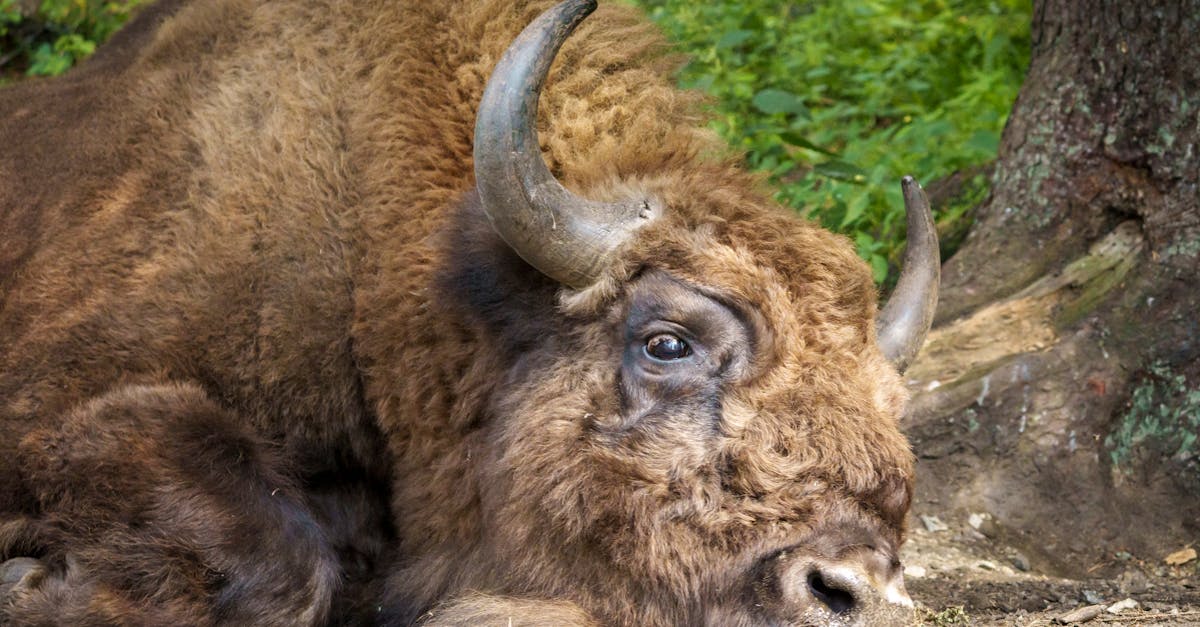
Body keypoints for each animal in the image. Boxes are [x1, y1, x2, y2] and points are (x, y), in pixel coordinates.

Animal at [0, 0, 936, 619]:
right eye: (666, 343)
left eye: (892, 408)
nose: (854, 590)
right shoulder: (67, 404)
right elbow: (280, 554)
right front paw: (35, 583)